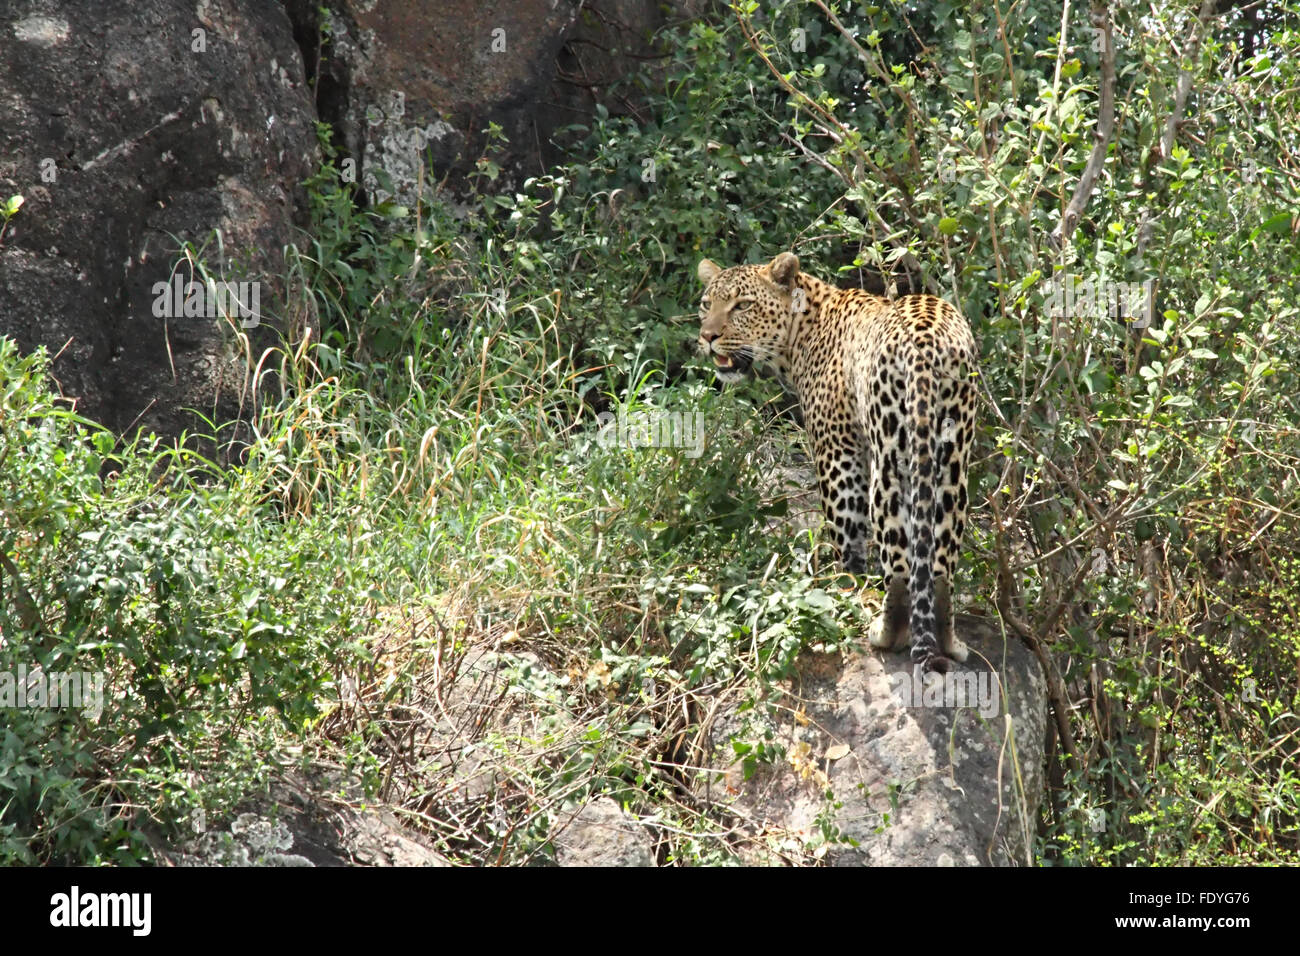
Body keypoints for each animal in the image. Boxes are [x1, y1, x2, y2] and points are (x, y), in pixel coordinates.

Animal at [696, 252, 978, 673]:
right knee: (942, 553)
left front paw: (842, 585)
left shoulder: (837, 449)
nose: (707, 336)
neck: (800, 334)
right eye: (706, 304)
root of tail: (924, 342)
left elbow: (844, 531)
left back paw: (885, 632)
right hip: (952, 454)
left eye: (742, 306)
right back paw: (949, 639)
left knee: (897, 558)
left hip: (889, 455)